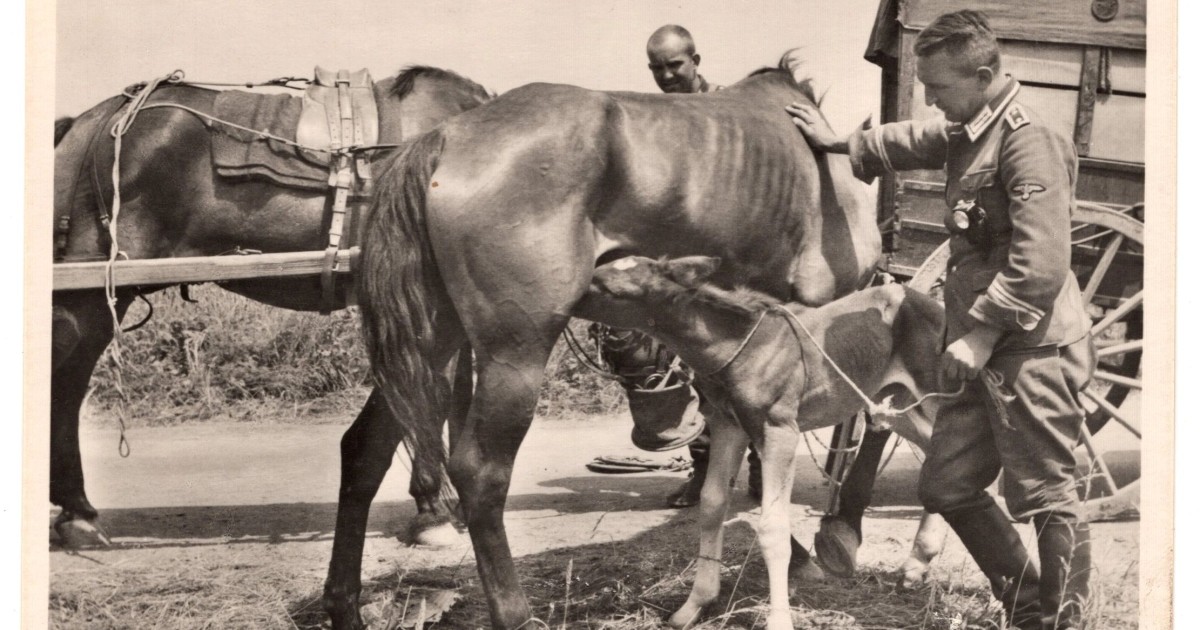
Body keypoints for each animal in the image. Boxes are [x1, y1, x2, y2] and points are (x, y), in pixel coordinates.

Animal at [50, 66, 490, 551]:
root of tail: (90, 121)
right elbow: (428, 399)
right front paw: (433, 511)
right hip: (91, 292)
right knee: (65, 382)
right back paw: (76, 514)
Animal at [353, 56, 882, 629]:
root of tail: (445, 136)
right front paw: (828, 540)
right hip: (514, 354)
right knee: (479, 472)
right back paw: (514, 612)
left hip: (435, 341)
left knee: (385, 446)